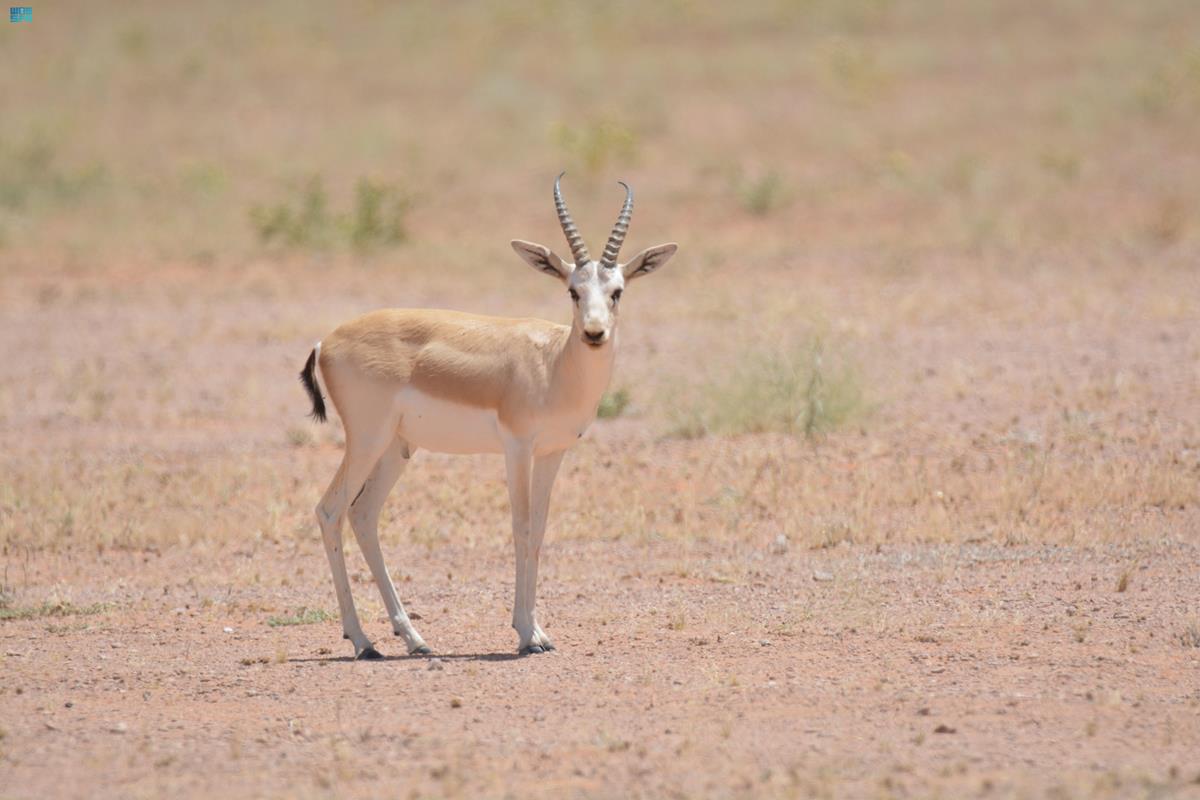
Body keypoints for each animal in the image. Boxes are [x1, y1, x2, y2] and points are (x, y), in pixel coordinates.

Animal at [298, 174, 678, 658]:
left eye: (617, 292)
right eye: (572, 290)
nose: (595, 333)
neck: (554, 364)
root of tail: (325, 342)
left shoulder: (552, 452)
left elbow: (539, 529)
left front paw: (540, 632)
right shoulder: (517, 447)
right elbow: (521, 525)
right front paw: (526, 634)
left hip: (395, 449)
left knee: (363, 515)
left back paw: (414, 639)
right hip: (366, 441)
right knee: (330, 510)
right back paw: (363, 642)